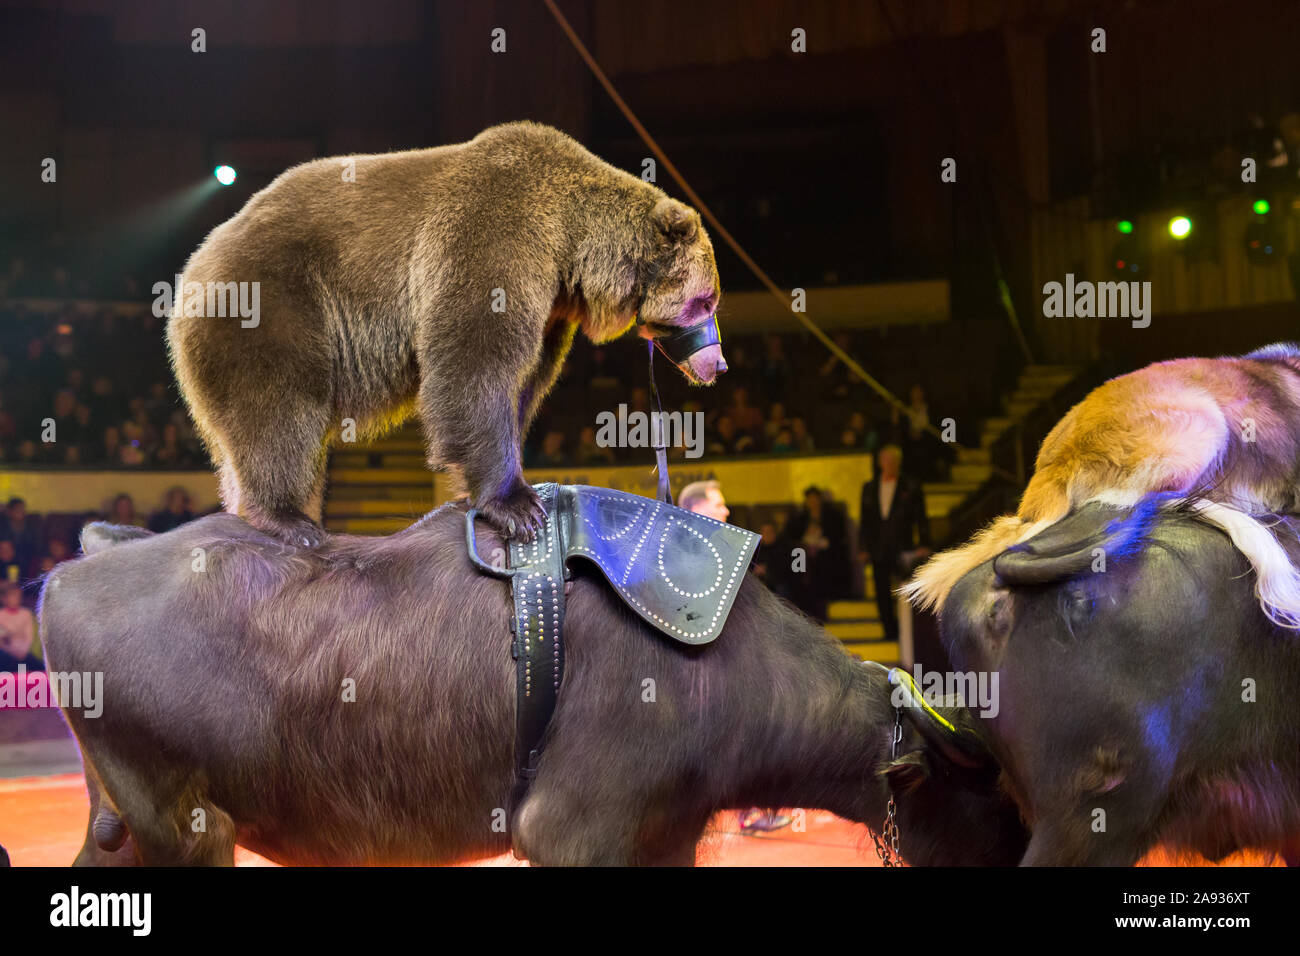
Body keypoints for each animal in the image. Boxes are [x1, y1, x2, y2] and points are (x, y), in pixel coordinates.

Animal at [37, 506, 1027, 867]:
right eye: (1003, 802)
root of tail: (88, 556)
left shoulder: (660, 839)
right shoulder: (571, 834)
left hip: (124, 825)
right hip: (187, 828)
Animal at [166, 121, 724, 546]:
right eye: (707, 300)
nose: (717, 364)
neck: (570, 249)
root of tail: (196, 264)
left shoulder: (549, 310)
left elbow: (522, 383)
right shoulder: (495, 237)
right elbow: (475, 362)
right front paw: (516, 505)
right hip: (274, 304)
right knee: (276, 409)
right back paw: (289, 519)